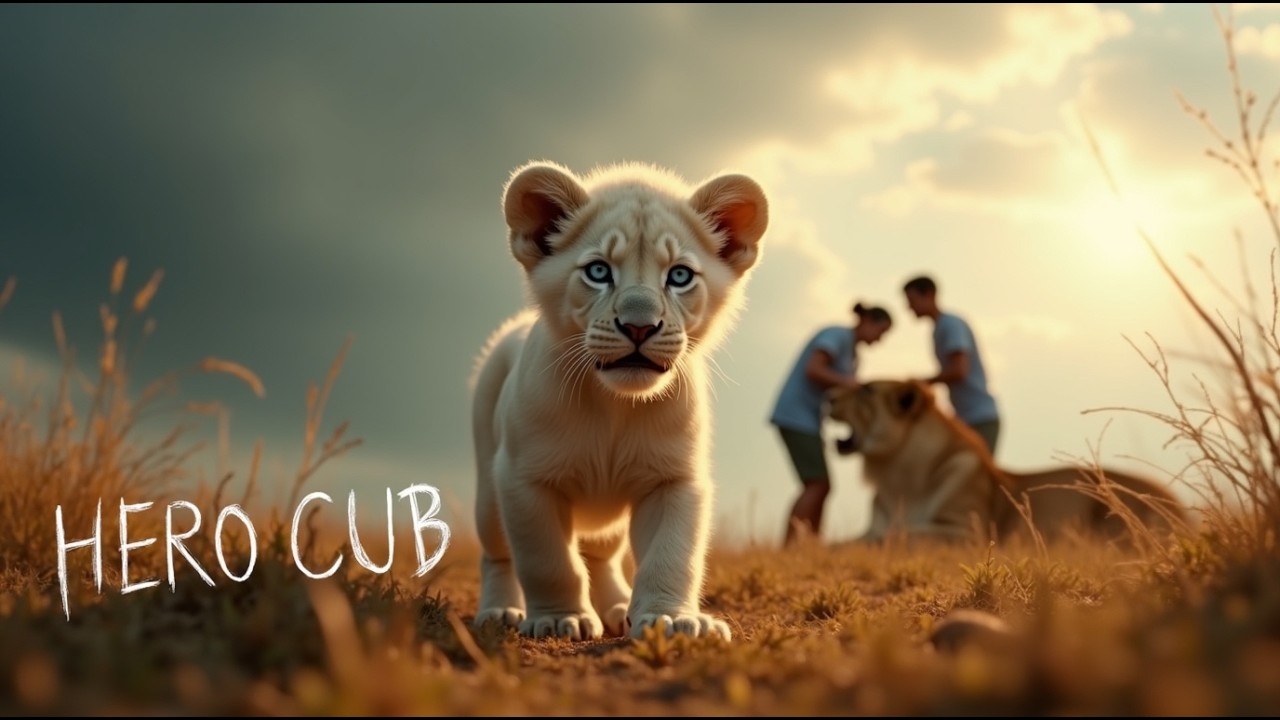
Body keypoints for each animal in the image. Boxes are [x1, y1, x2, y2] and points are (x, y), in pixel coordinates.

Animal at [469, 160, 768, 641]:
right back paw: (500, 611)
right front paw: (558, 619)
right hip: (488, 490)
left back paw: (616, 608)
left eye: (679, 276)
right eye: (598, 271)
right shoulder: (523, 478)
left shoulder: (674, 479)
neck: (615, 405)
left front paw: (671, 619)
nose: (639, 326)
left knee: (601, 556)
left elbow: (671, 557)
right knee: (497, 553)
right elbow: (547, 560)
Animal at [825, 379, 1189, 546]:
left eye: (865, 390)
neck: (895, 473)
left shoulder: (969, 532)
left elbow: (902, 532)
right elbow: (849, 540)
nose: (827, 397)